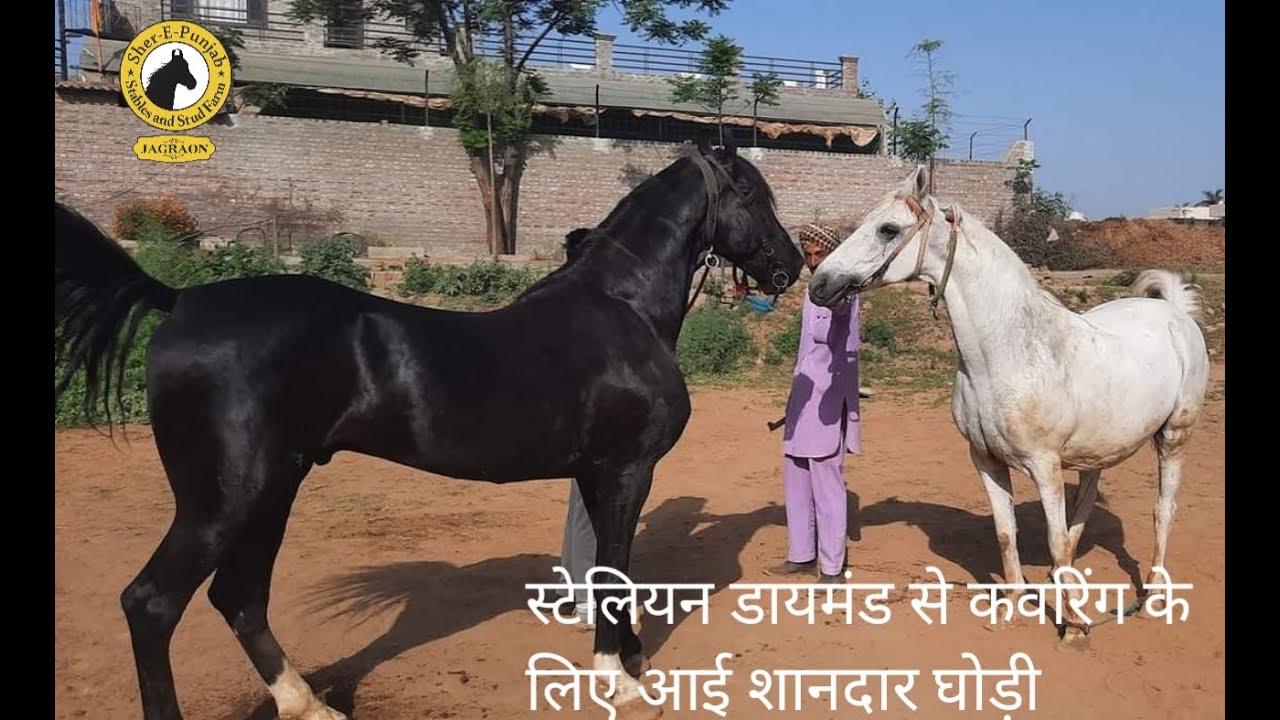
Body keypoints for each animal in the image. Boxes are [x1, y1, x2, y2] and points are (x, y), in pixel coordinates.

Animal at [54, 138, 803, 720]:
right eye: (754, 197)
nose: (790, 266)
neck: (622, 308)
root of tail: (178, 299)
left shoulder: (599, 474)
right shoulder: (624, 471)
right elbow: (614, 568)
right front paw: (617, 678)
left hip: (272, 490)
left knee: (239, 595)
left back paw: (309, 704)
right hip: (222, 502)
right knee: (153, 604)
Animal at [807, 164, 1209, 644]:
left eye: (888, 229)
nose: (819, 284)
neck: (1006, 353)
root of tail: (1175, 314)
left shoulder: (1045, 467)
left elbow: (1052, 538)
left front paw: (1074, 627)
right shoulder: (986, 460)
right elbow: (1006, 534)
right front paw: (1014, 609)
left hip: (1173, 438)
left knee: (1161, 511)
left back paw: (1153, 597)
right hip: (1096, 450)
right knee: (1083, 509)